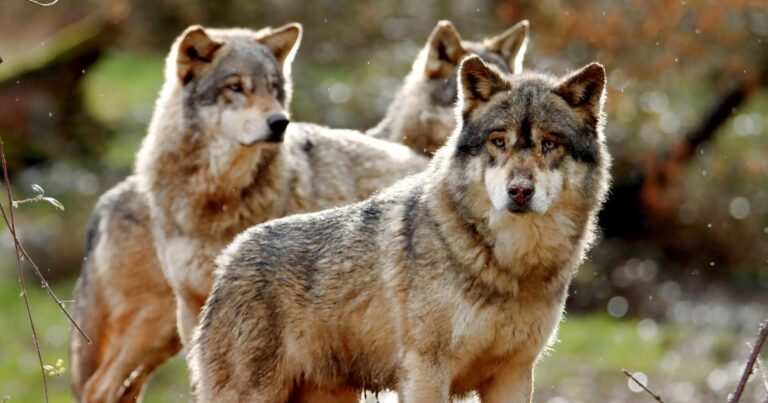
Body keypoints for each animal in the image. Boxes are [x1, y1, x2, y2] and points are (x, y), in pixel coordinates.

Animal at [70, 20, 530, 403]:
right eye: (236, 87)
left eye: (274, 86)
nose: (279, 122)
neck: (215, 199)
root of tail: (107, 201)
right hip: (158, 327)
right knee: (99, 387)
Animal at [189, 56, 611, 403]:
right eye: (498, 142)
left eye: (549, 144)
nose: (520, 191)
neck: (509, 265)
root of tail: (230, 256)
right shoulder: (426, 371)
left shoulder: (514, 374)